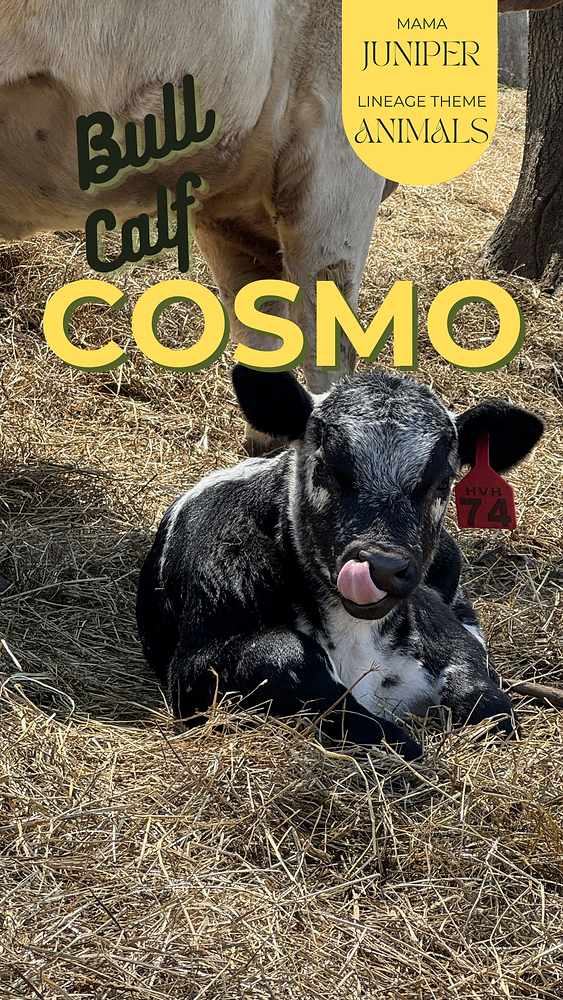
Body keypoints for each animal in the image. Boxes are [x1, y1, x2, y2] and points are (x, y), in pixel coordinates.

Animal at [136, 365, 544, 760]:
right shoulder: (195, 665)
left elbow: (487, 698)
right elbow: (287, 659)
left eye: (442, 483)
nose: (381, 566)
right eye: (325, 469)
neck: (354, 640)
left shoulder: (441, 628)